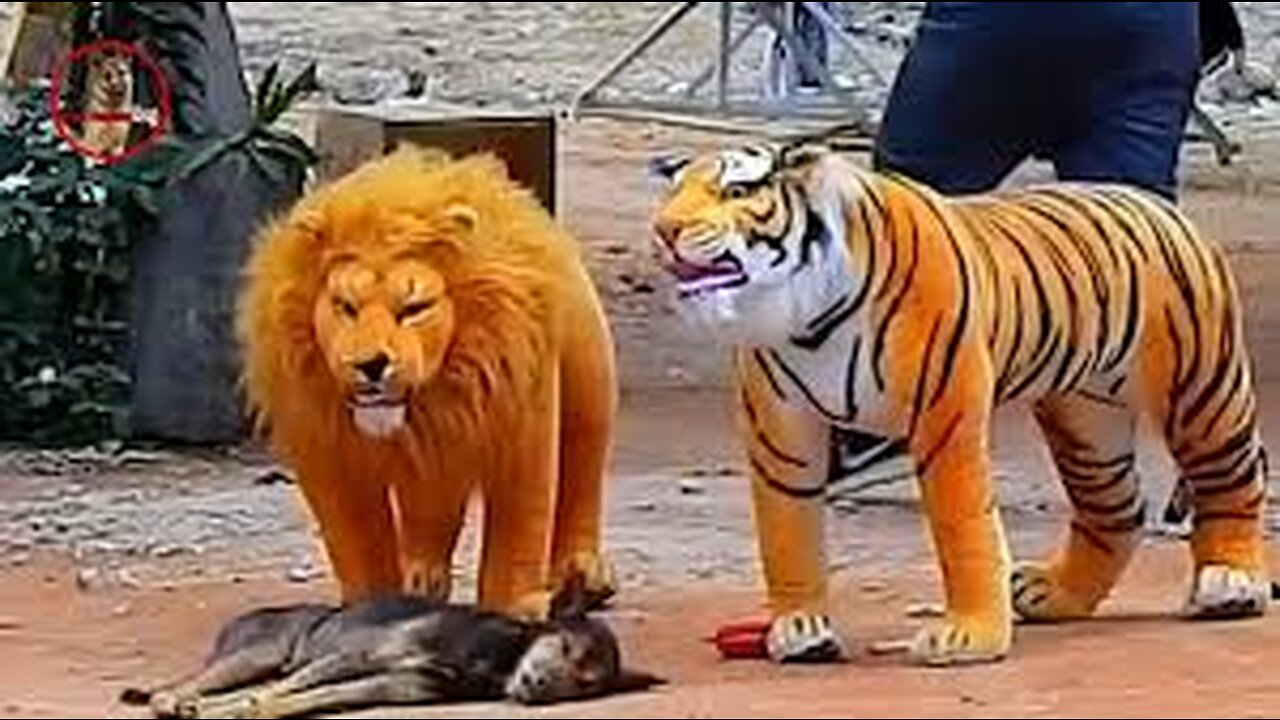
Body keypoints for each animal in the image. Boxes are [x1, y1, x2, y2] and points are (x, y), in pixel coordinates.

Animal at [237, 146, 618, 619]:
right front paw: (373, 609)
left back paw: (581, 578)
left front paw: (510, 611)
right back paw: (421, 579)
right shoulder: (329, 452)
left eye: (414, 308)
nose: (371, 364)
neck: (431, 401)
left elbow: (518, 533)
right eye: (346, 306)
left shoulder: (521, 427)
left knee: (583, 474)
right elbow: (357, 546)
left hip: (590, 390)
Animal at [648, 143, 1270, 666]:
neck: (807, 323)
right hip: (1084, 418)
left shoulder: (944, 417)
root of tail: (1153, 203)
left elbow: (963, 527)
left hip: (1200, 389)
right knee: (1117, 509)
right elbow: (786, 536)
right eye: (673, 194)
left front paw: (969, 636)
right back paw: (1053, 593)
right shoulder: (781, 433)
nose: (664, 230)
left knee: (1233, 481)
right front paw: (799, 627)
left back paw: (1231, 582)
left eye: (736, 191)